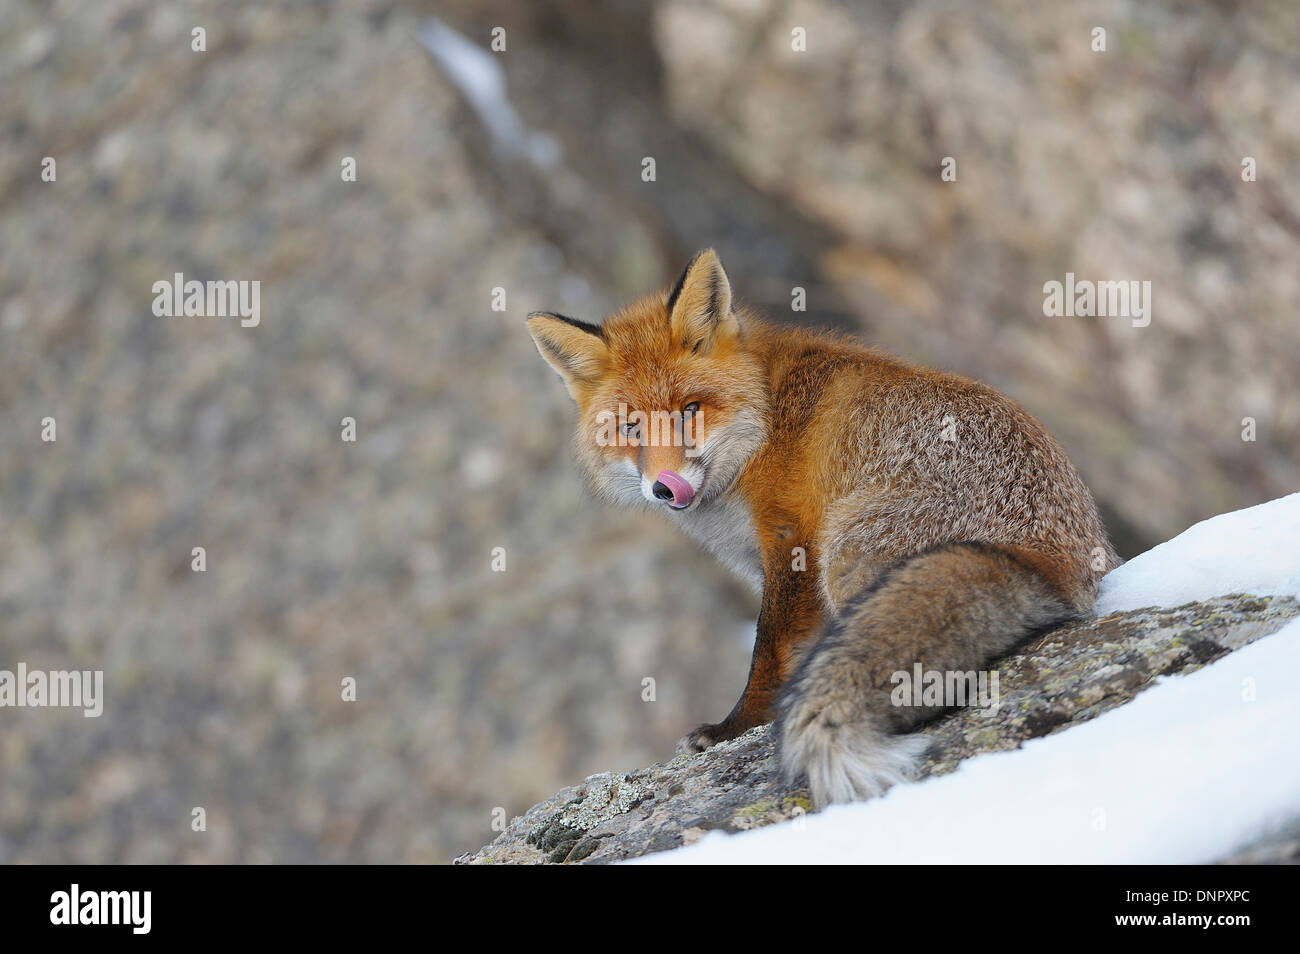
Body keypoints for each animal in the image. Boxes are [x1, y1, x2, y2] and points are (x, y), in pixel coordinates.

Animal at [527, 249, 1119, 807]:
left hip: (844, 551)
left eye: (690, 409)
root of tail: (1050, 561)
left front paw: (732, 729)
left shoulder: (792, 543)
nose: (664, 489)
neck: (763, 425)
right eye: (631, 428)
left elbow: (769, 653)